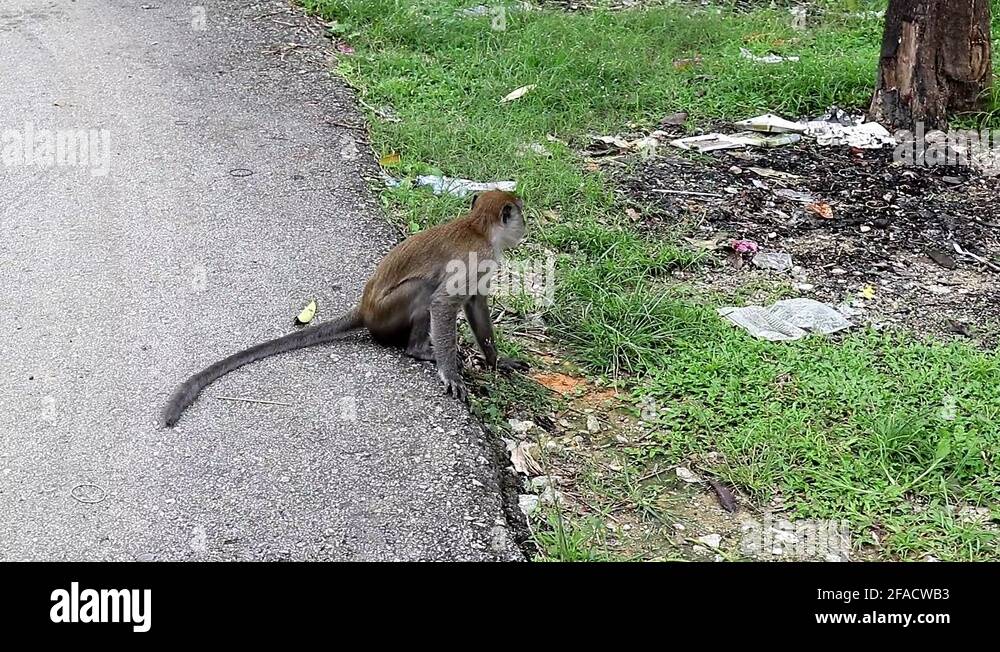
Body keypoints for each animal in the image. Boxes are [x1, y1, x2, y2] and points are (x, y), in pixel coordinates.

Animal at [162, 189, 528, 427]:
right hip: (388, 312)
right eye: (520, 212)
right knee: (425, 290)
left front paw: (498, 361)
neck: (478, 227)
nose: (526, 225)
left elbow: (476, 304)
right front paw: (450, 373)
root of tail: (364, 309)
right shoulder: (477, 259)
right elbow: (442, 302)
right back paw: (417, 349)